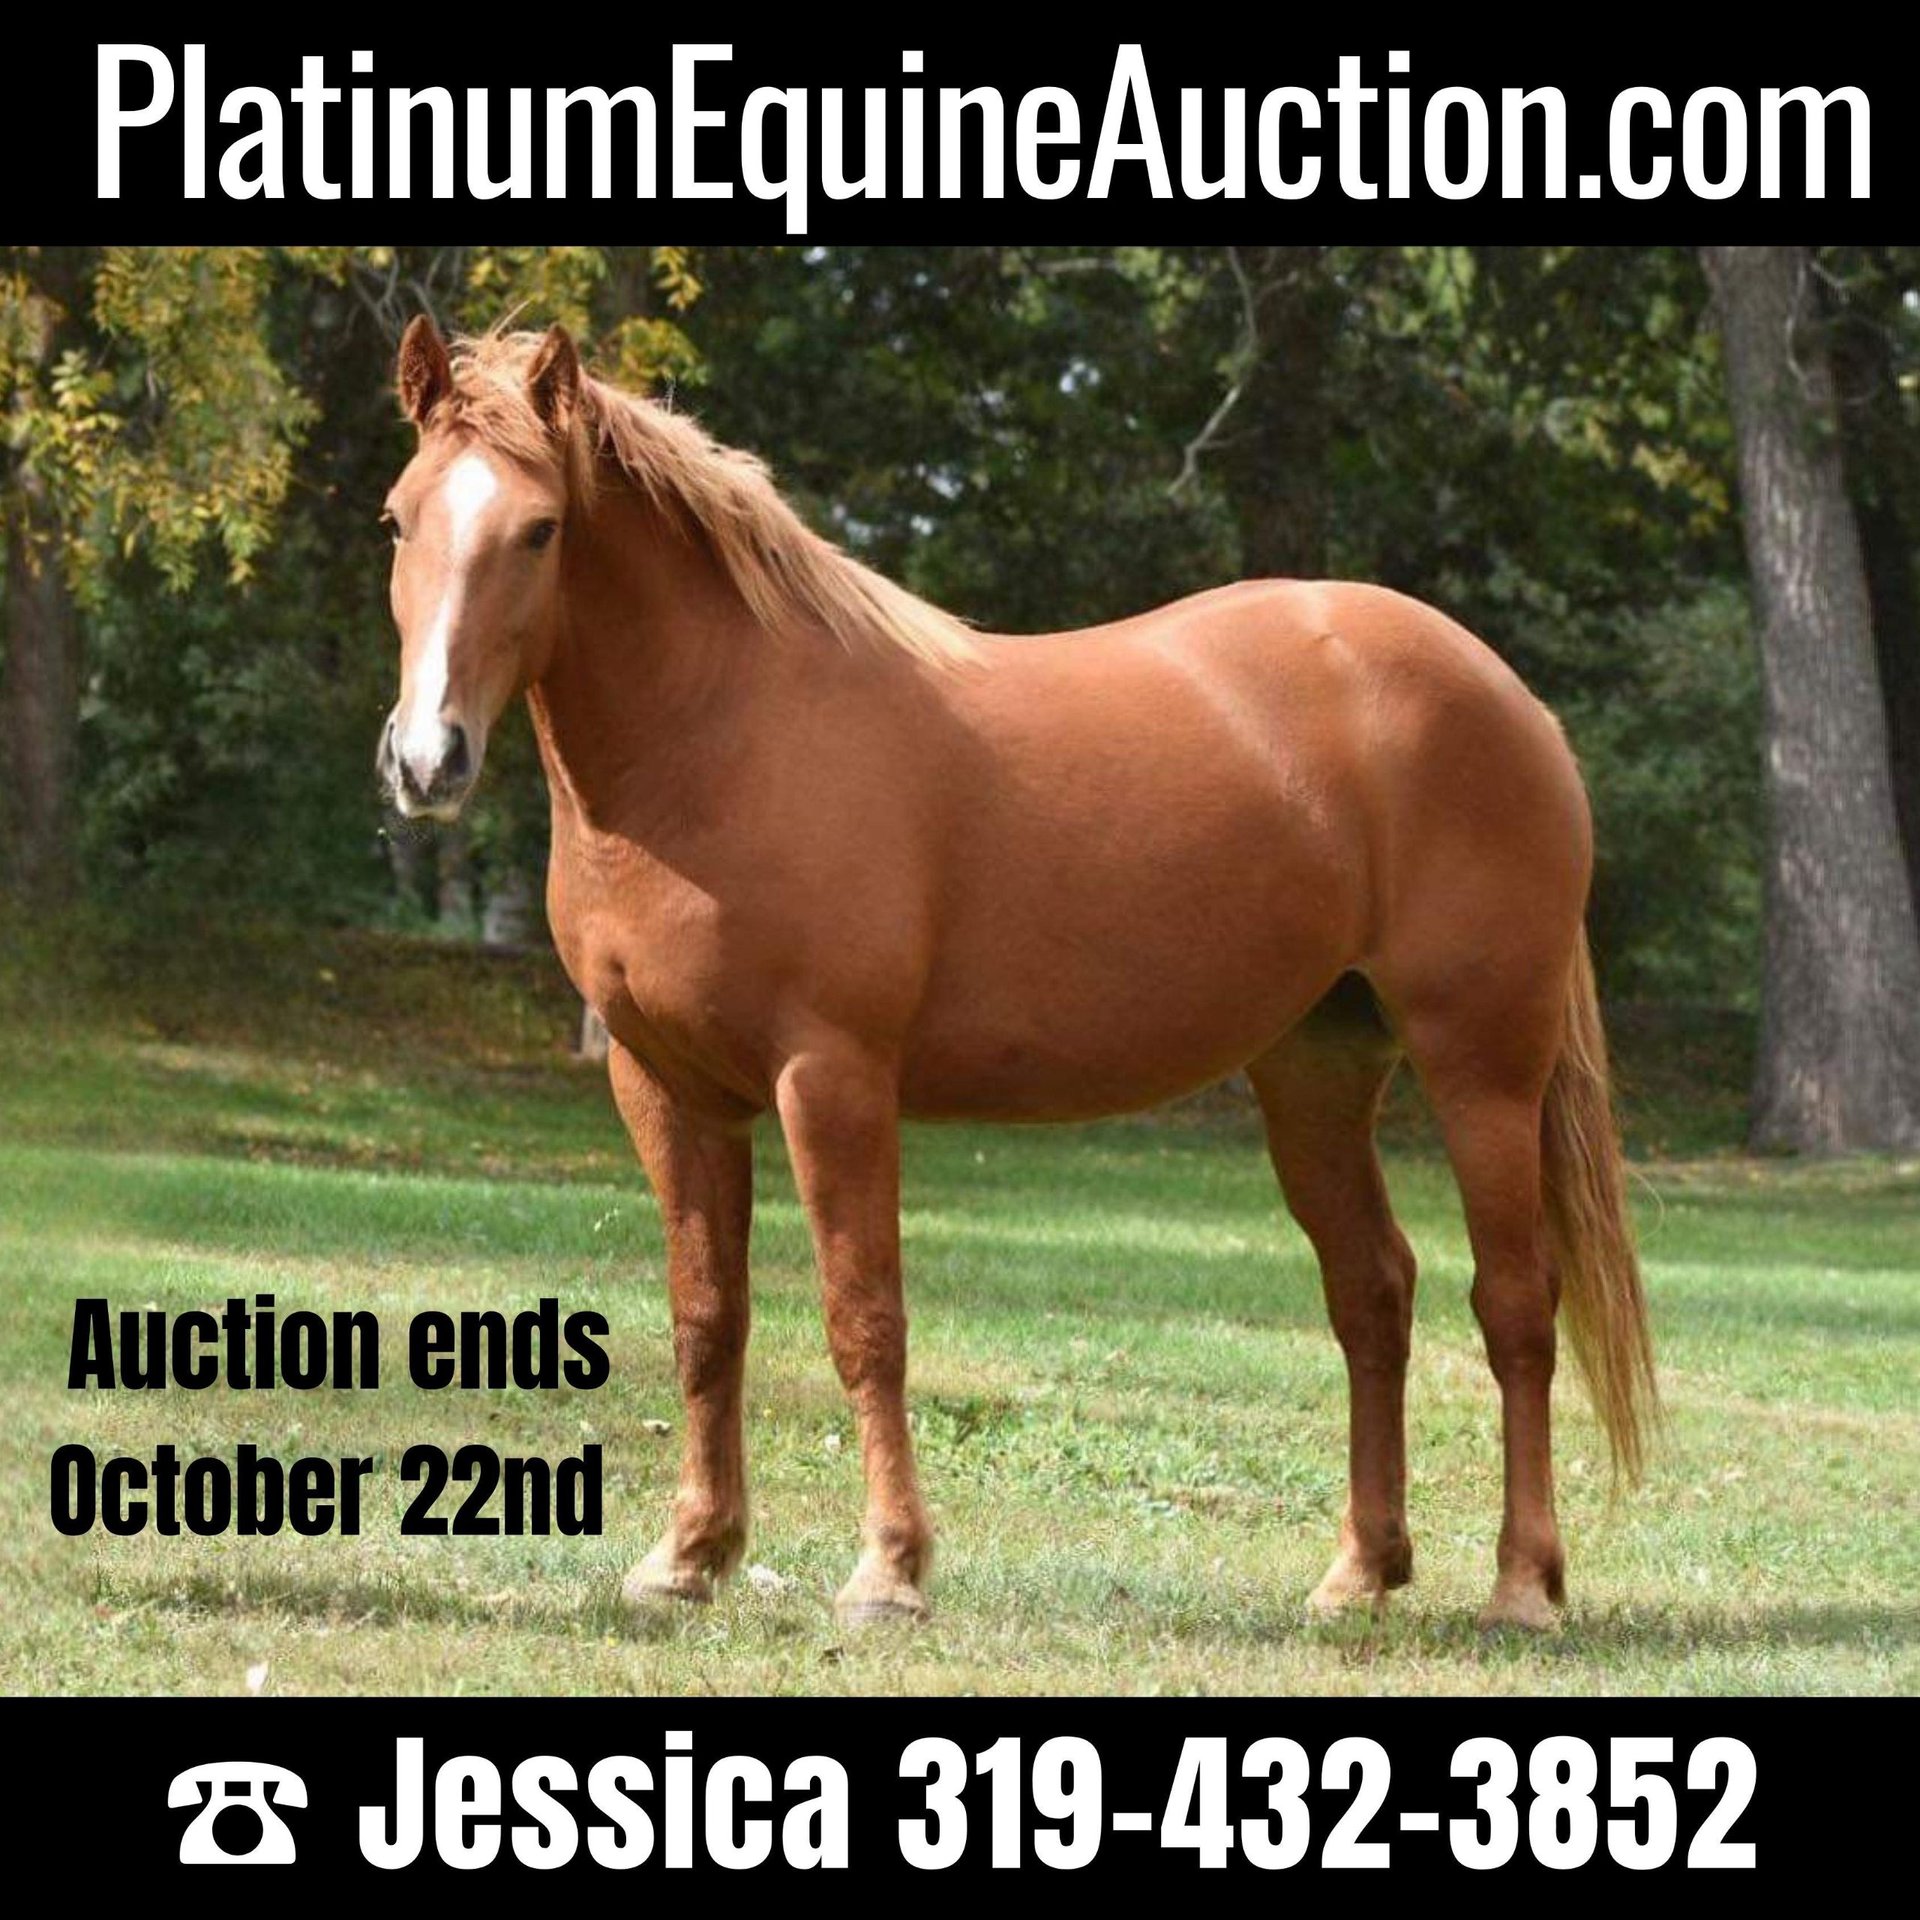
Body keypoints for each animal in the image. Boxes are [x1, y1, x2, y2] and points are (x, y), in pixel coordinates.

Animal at [376, 315, 1656, 1633]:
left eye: (541, 529)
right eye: (398, 519)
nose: (427, 760)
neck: (723, 737)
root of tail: (1511, 699)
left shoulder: (830, 1077)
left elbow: (864, 1318)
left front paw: (888, 1570)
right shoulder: (666, 1087)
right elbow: (706, 1320)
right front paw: (689, 1556)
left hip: (1482, 1067)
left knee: (1515, 1304)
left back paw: (1523, 1585)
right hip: (1316, 1071)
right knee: (1373, 1293)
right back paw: (1359, 1572)